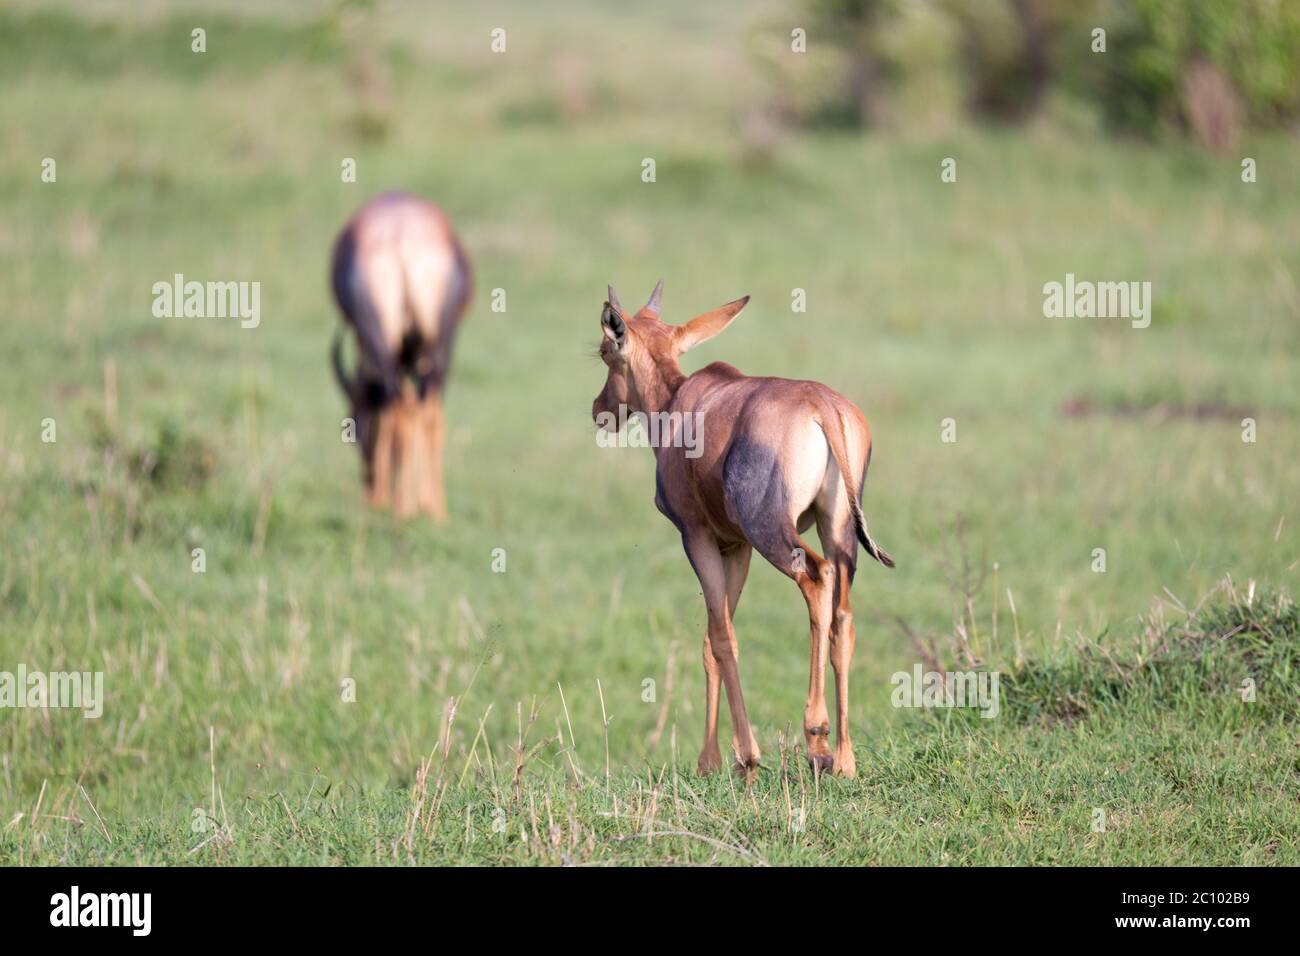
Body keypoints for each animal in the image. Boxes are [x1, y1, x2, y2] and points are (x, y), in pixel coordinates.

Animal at [330, 193, 472, 519]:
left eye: (351, 422)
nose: (368, 483)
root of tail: (401, 241)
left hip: (391, 343)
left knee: (403, 408)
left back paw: (404, 507)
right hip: (439, 345)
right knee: (425, 411)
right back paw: (428, 509)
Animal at [592, 283, 894, 779]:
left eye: (605, 352)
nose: (600, 410)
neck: (682, 403)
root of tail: (822, 406)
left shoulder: (697, 536)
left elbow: (722, 638)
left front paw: (745, 758)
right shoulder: (736, 546)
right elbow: (712, 638)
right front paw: (710, 761)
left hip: (773, 532)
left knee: (818, 579)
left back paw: (817, 741)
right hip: (837, 528)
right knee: (843, 614)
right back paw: (845, 759)